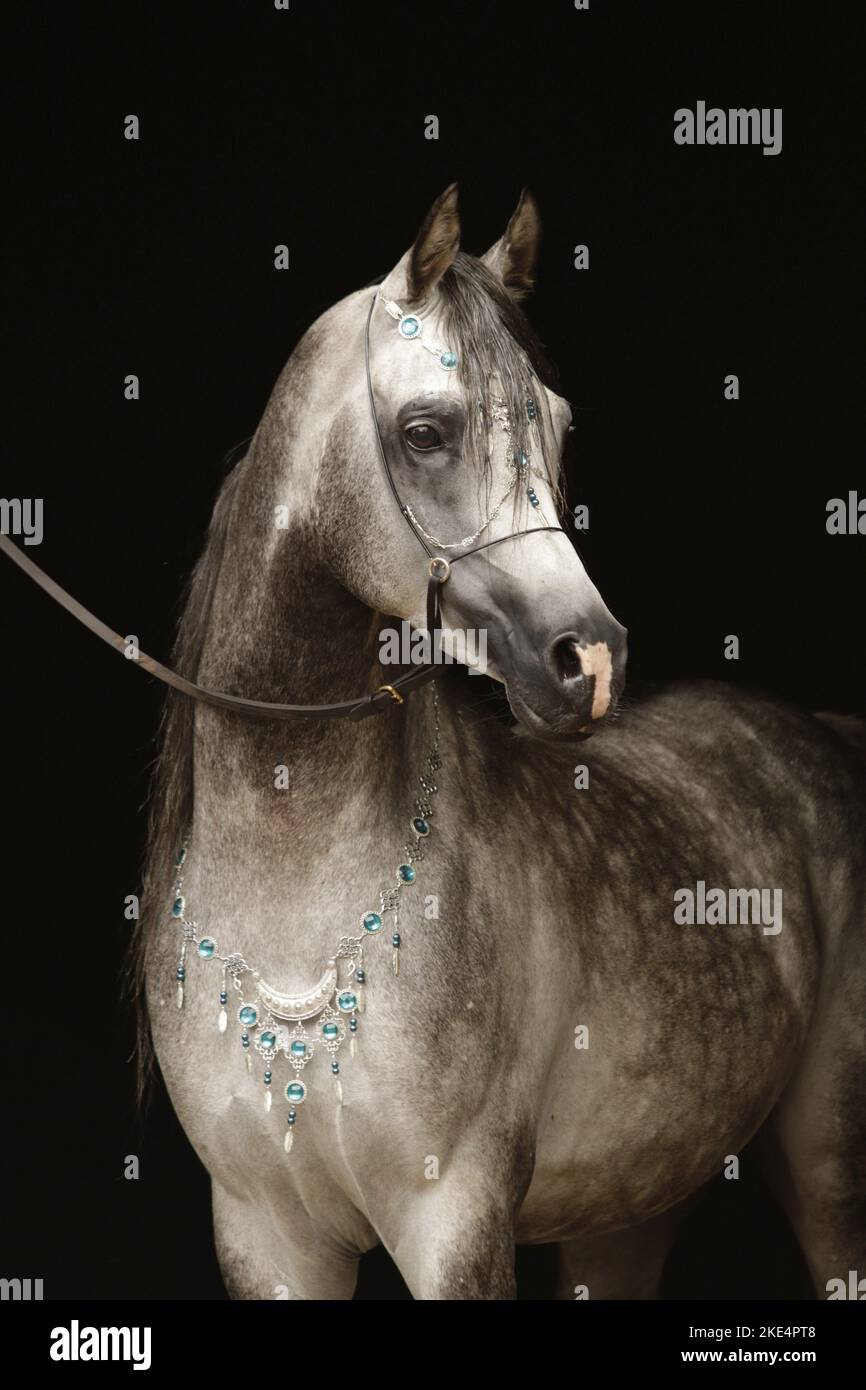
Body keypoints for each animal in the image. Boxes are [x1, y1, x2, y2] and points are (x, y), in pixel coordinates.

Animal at [138, 184, 866, 1300]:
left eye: (557, 425)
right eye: (425, 430)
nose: (588, 659)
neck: (296, 887)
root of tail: (821, 734)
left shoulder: (454, 1219)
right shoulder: (265, 1233)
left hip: (827, 1162)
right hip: (629, 1209)